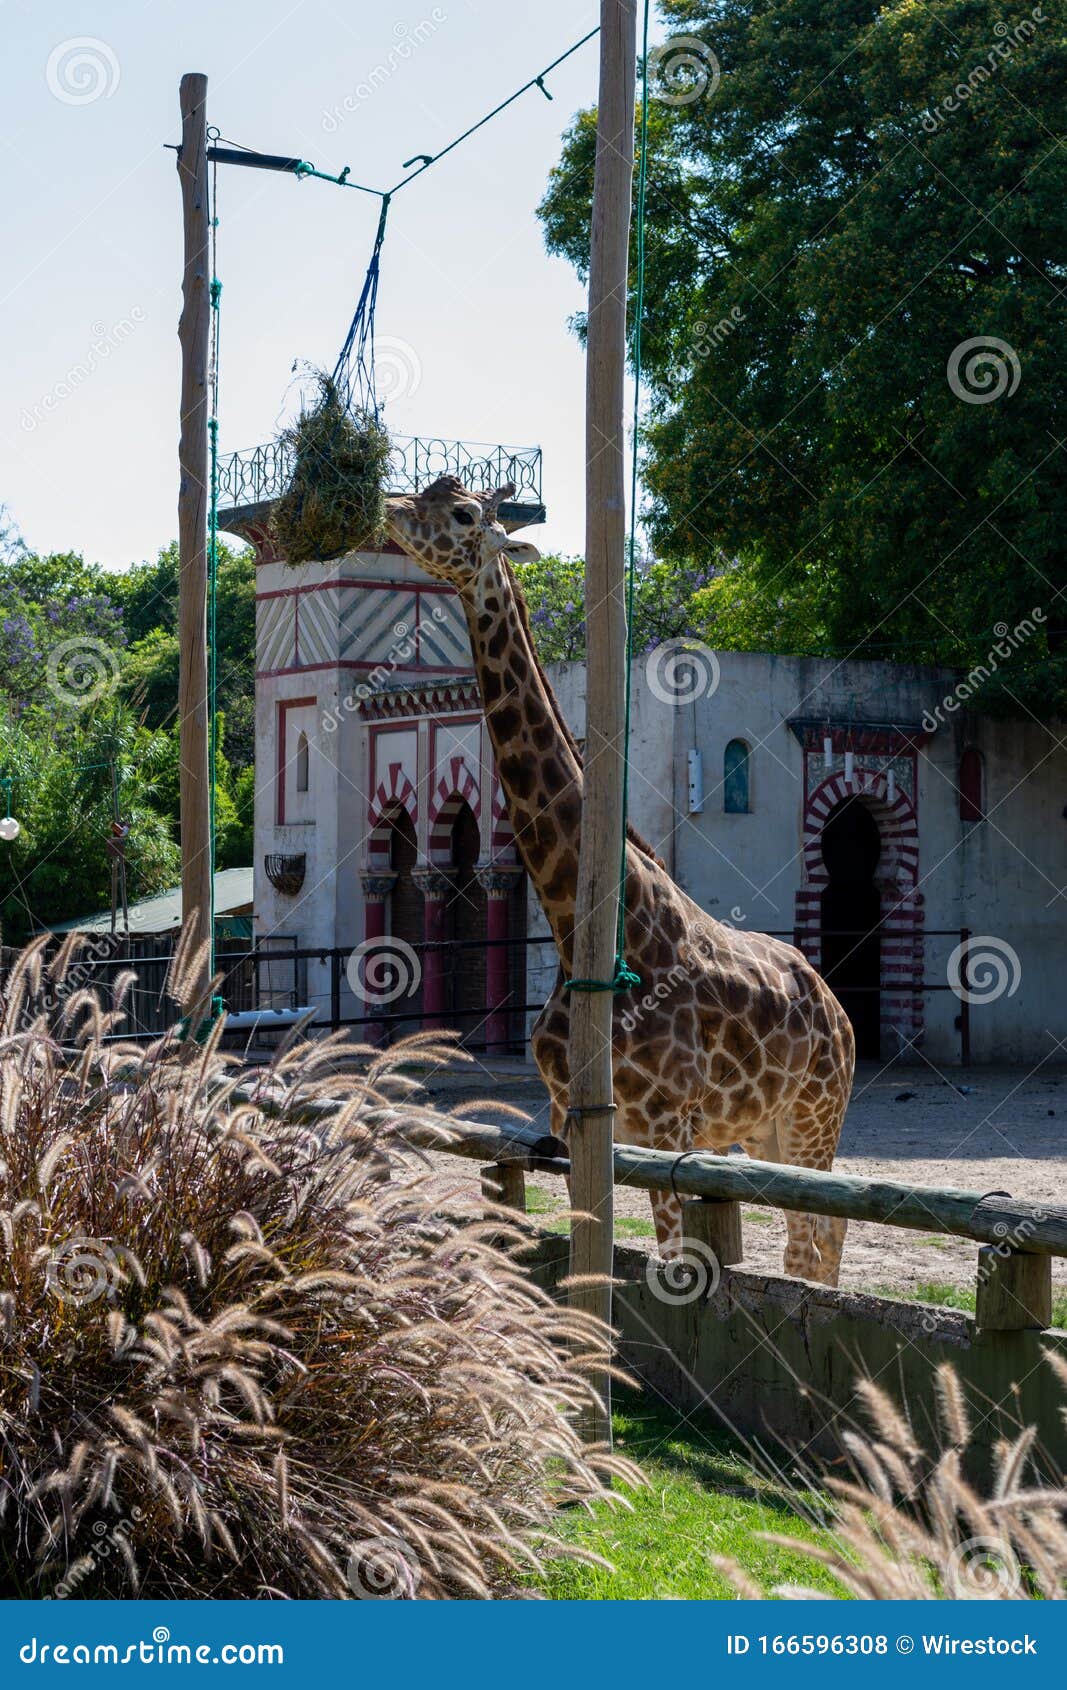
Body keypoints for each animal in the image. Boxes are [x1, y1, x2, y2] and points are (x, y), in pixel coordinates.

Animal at [383, 476, 855, 1284]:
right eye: (426, 494)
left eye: (466, 514)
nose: (386, 510)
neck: (582, 929)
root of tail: (839, 1013)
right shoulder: (569, 1116)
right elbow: (579, 1265)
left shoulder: (668, 1125)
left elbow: (672, 1267)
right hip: (764, 1129)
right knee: (810, 1246)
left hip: (812, 1119)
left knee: (819, 1246)